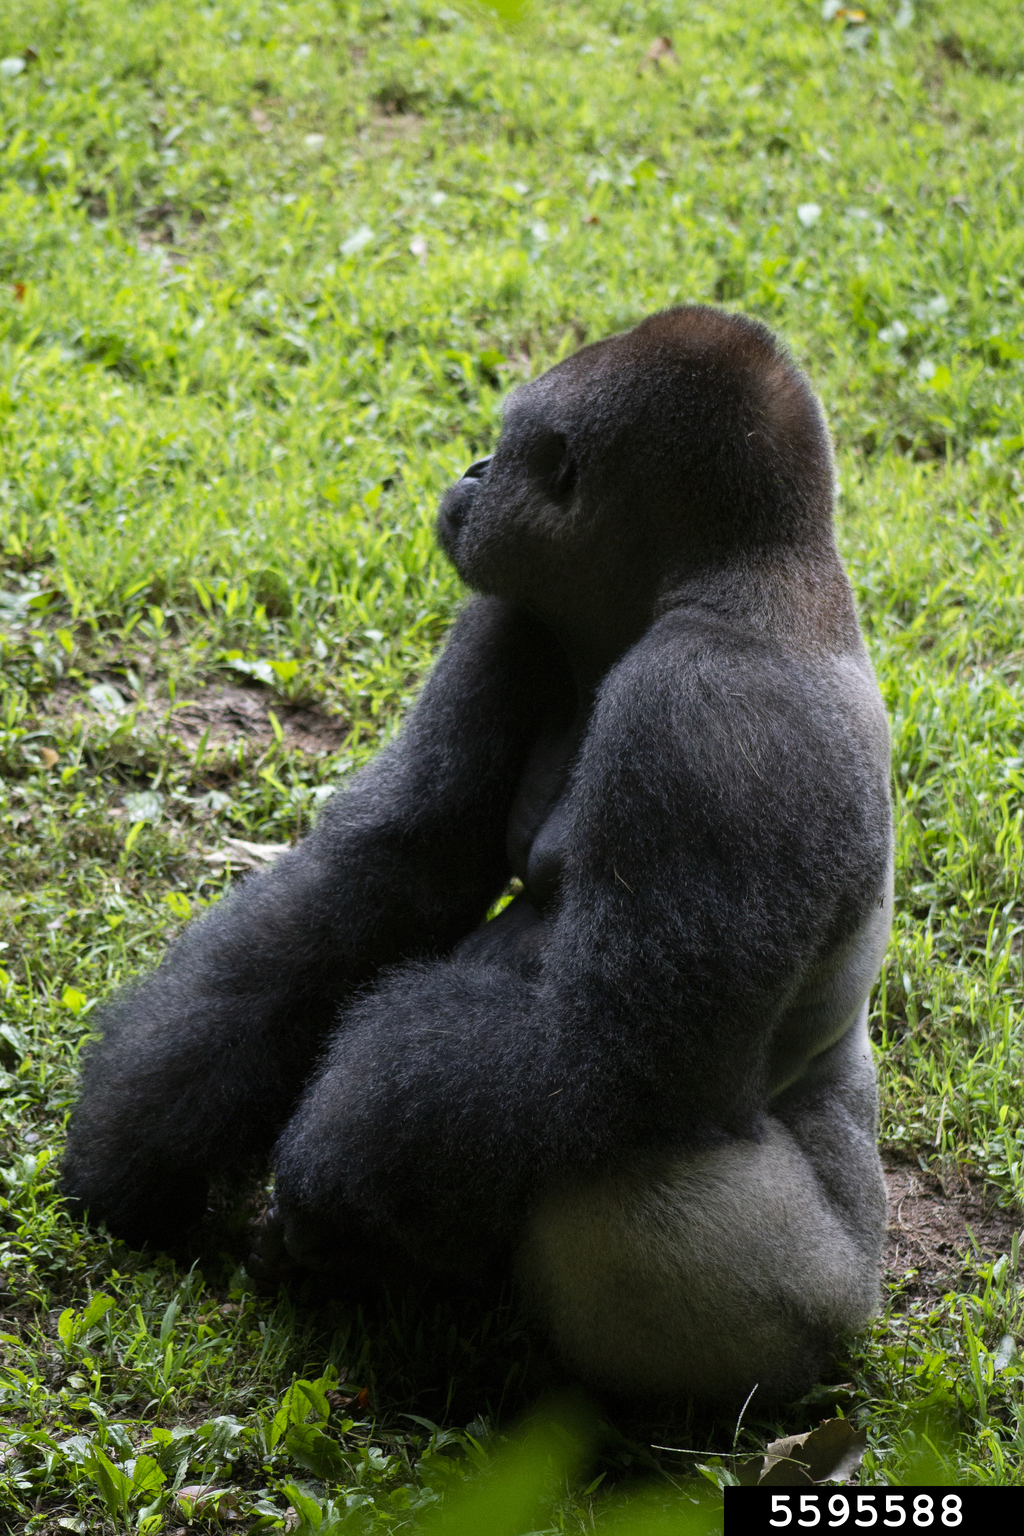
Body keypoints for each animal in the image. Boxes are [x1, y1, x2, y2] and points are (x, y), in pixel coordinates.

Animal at [62, 305, 892, 1406]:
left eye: (516, 451)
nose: (470, 470)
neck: (737, 575)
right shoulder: (513, 618)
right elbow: (387, 874)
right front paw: (138, 1144)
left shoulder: (707, 709)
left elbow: (619, 1053)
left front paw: (318, 1177)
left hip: (824, 1295)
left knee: (620, 1181)